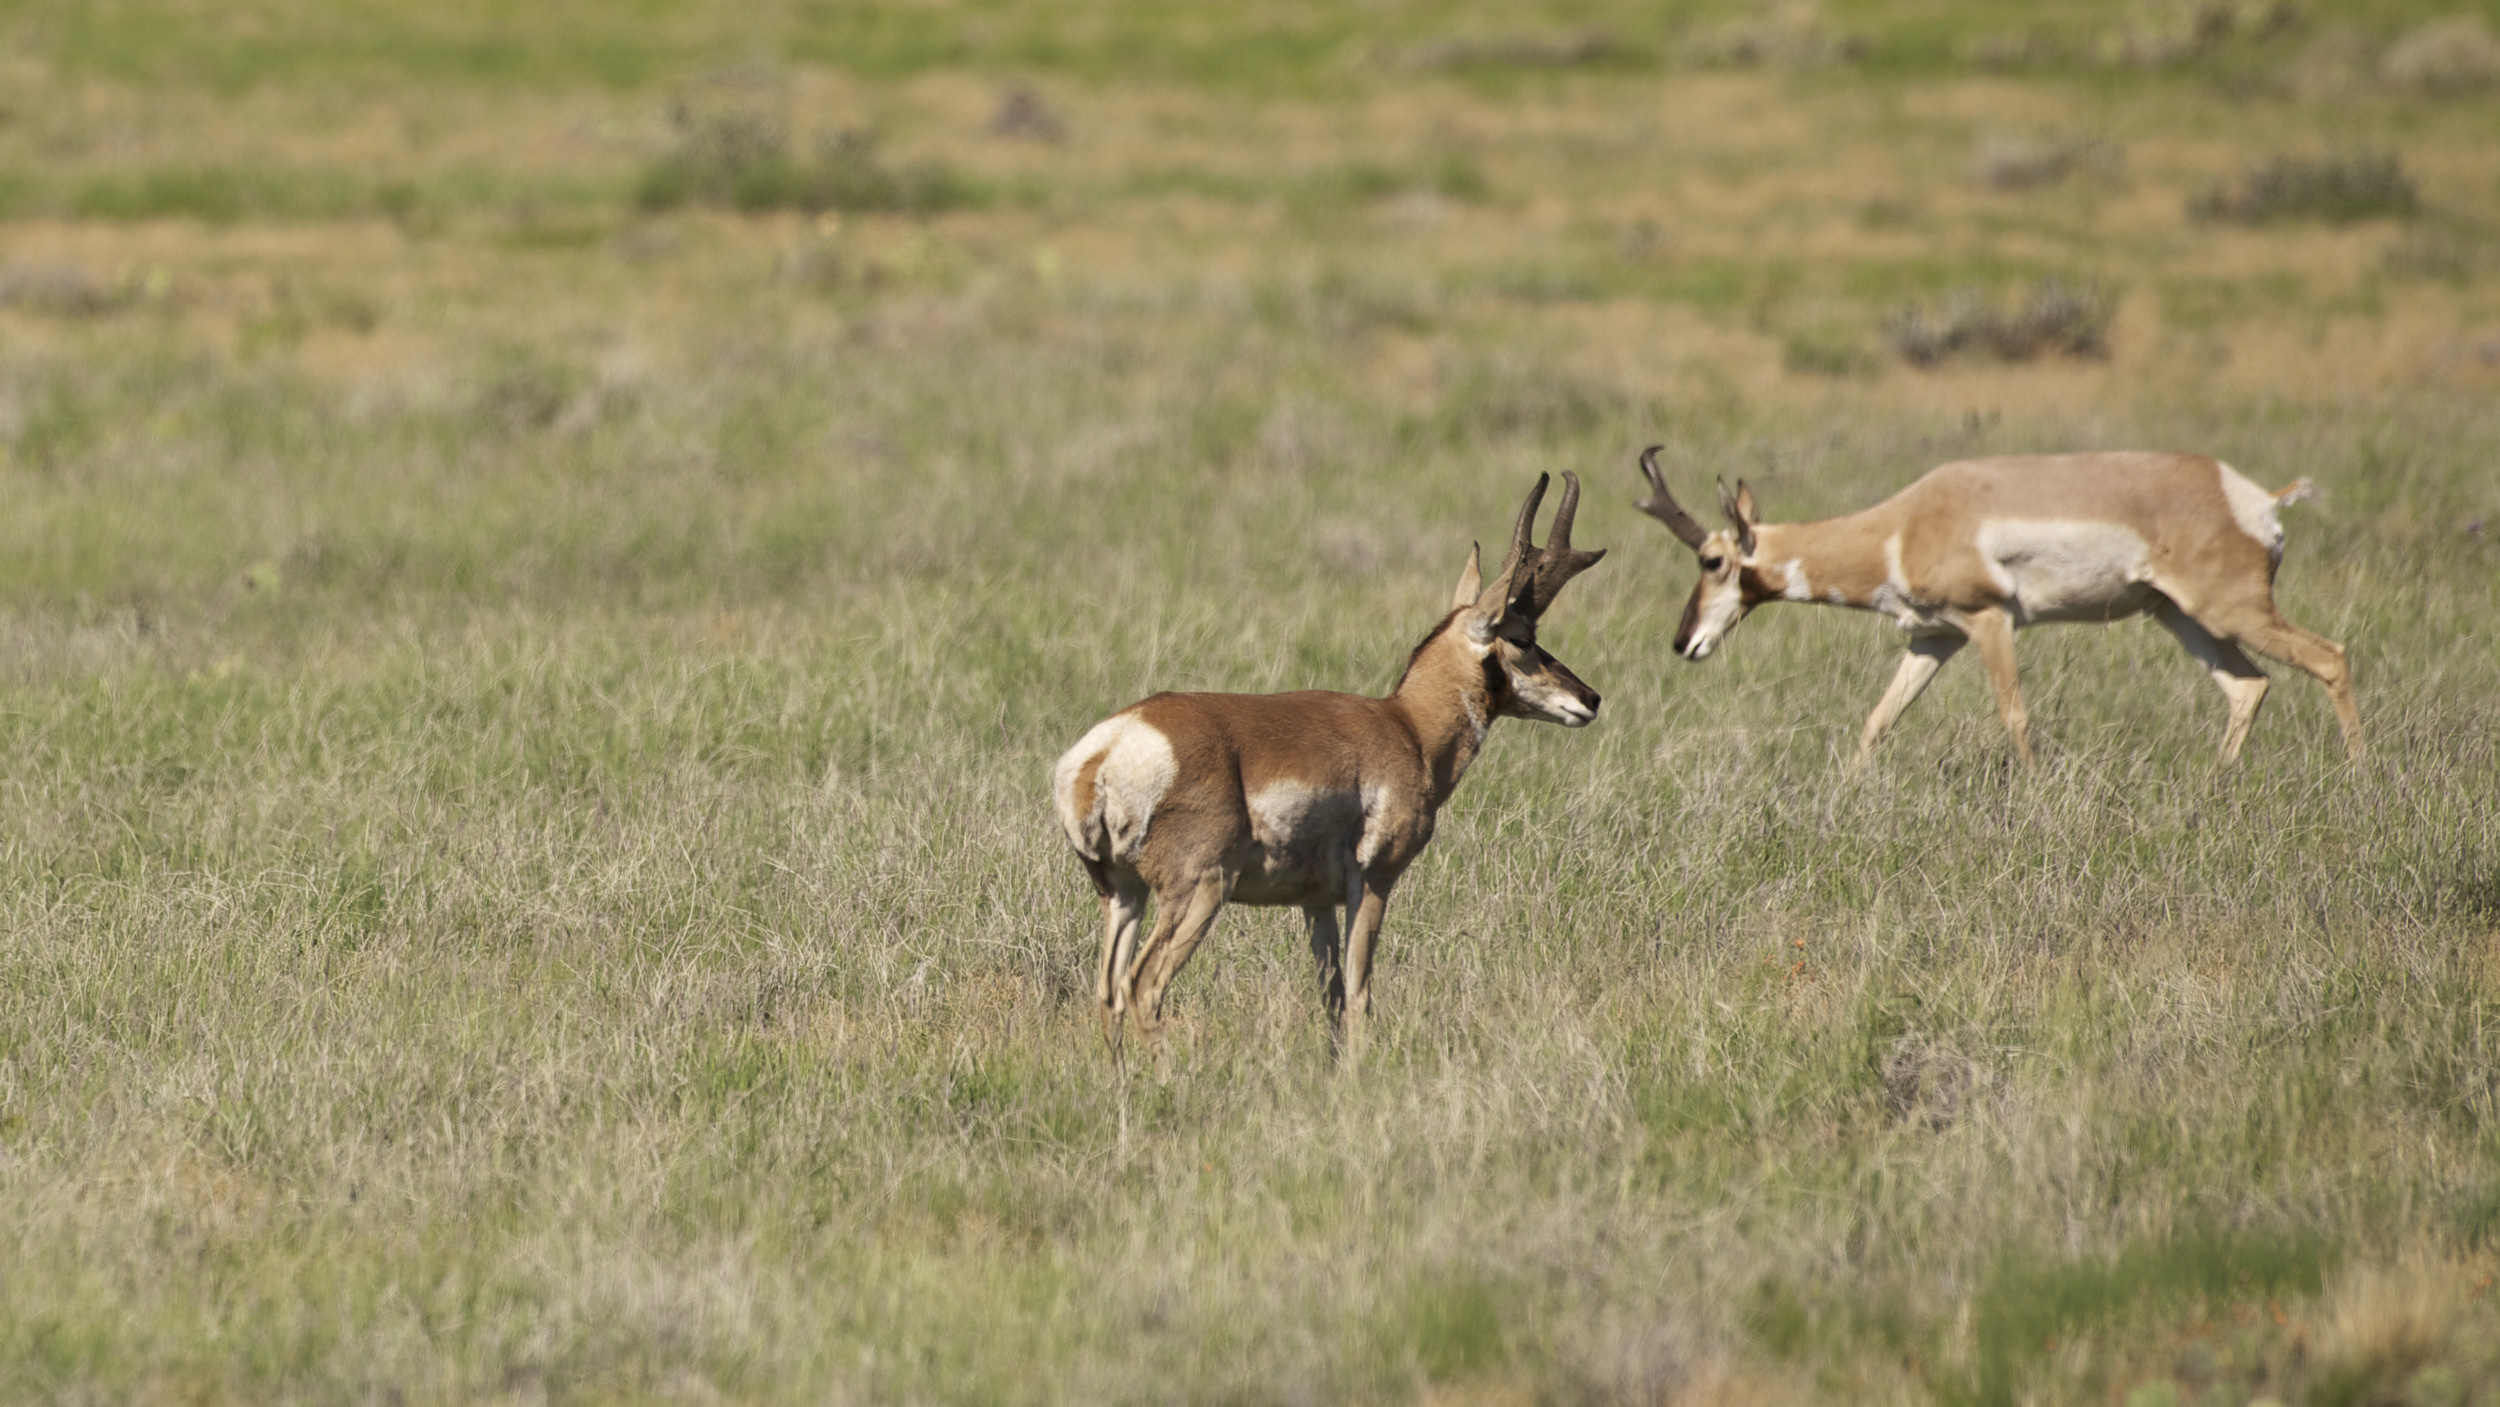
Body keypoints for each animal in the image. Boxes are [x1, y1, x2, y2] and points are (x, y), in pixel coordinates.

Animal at [1053, 473, 1605, 1050]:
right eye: (1522, 637)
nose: (1591, 698)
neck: (1406, 725)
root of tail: (1109, 747)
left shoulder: (1315, 902)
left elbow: (1333, 999)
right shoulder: (1373, 881)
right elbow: (1360, 995)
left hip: (1124, 895)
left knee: (1108, 993)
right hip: (1199, 891)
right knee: (1143, 985)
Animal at [1630, 446, 2364, 770]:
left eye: (1712, 560)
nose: (1681, 642)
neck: (1906, 522)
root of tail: (2256, 497)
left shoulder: (1989, 623)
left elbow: (2014, 714)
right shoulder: (1932, 639)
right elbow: (1877, 721)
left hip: (2231, 611)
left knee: (2330, 657)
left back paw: (2359, 777)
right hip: (2182, 617)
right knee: (2249, 686)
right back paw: (2215, 782)